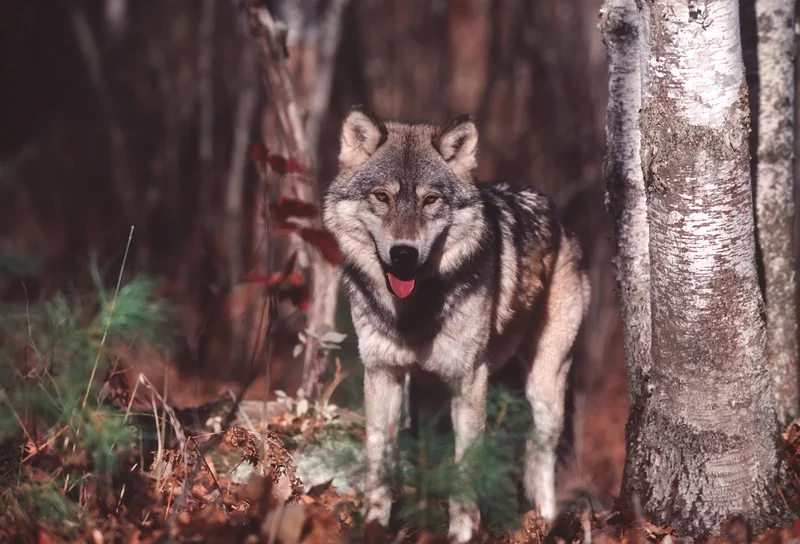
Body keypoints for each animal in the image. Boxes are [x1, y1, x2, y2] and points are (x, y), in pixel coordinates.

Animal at [322, 106, 590, 542]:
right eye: (382, 197)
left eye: (431, 200)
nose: (403, 253)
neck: (412, 312)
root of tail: (557, 214)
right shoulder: (382, 372)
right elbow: (378, 460)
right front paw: (375, 527)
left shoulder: (469, 378)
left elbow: (467, 467)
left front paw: (463, 533)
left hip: (544, 387)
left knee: (540, 455)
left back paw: (543, 523)